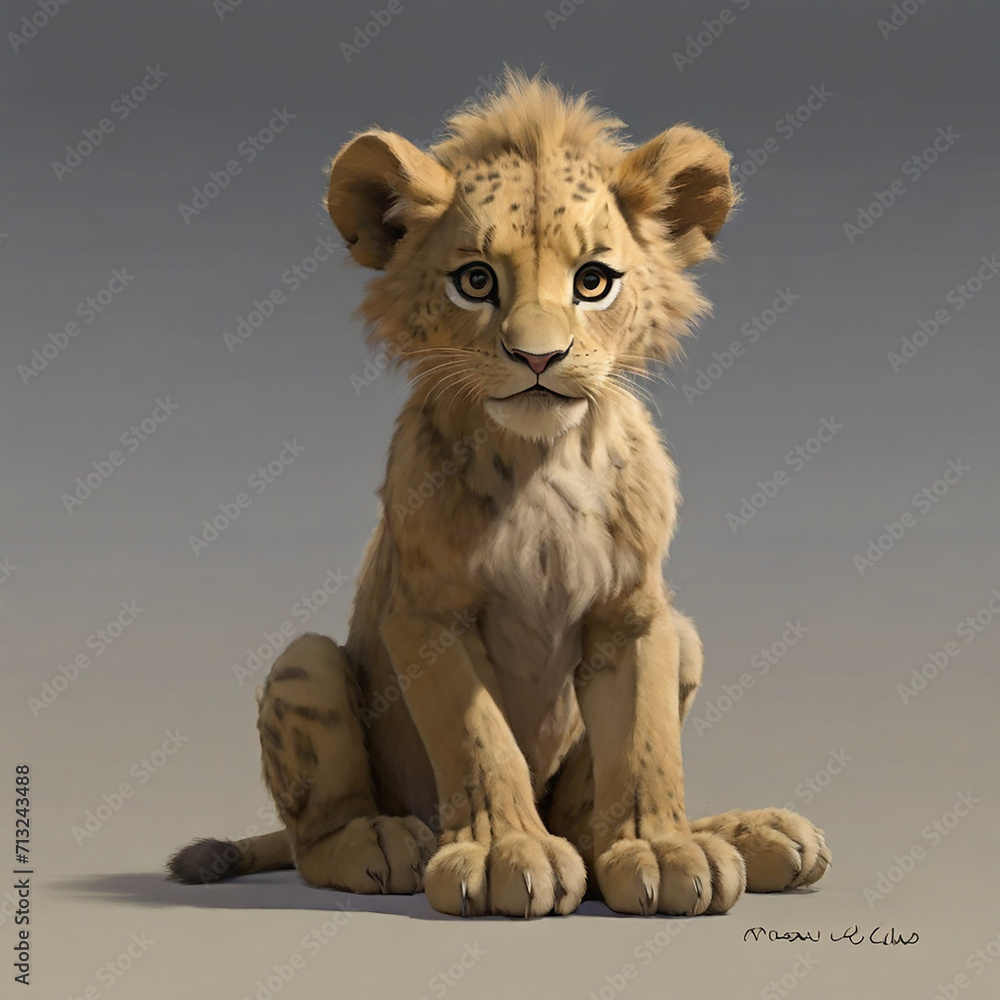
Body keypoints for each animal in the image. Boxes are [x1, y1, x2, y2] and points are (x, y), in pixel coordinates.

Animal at [167, 71, 830, 918]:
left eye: (593, 282)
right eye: (476, 280)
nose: (539, 357)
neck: (543, 463)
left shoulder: (635, 613)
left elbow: (645, 746)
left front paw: (659, 849)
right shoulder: (426, 613)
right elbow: (480, 742)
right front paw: (502, 853)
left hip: (685, 637)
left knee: (585, 821)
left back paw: (750, 836)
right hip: (304, 663)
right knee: (313, 835)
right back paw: (383, 840)